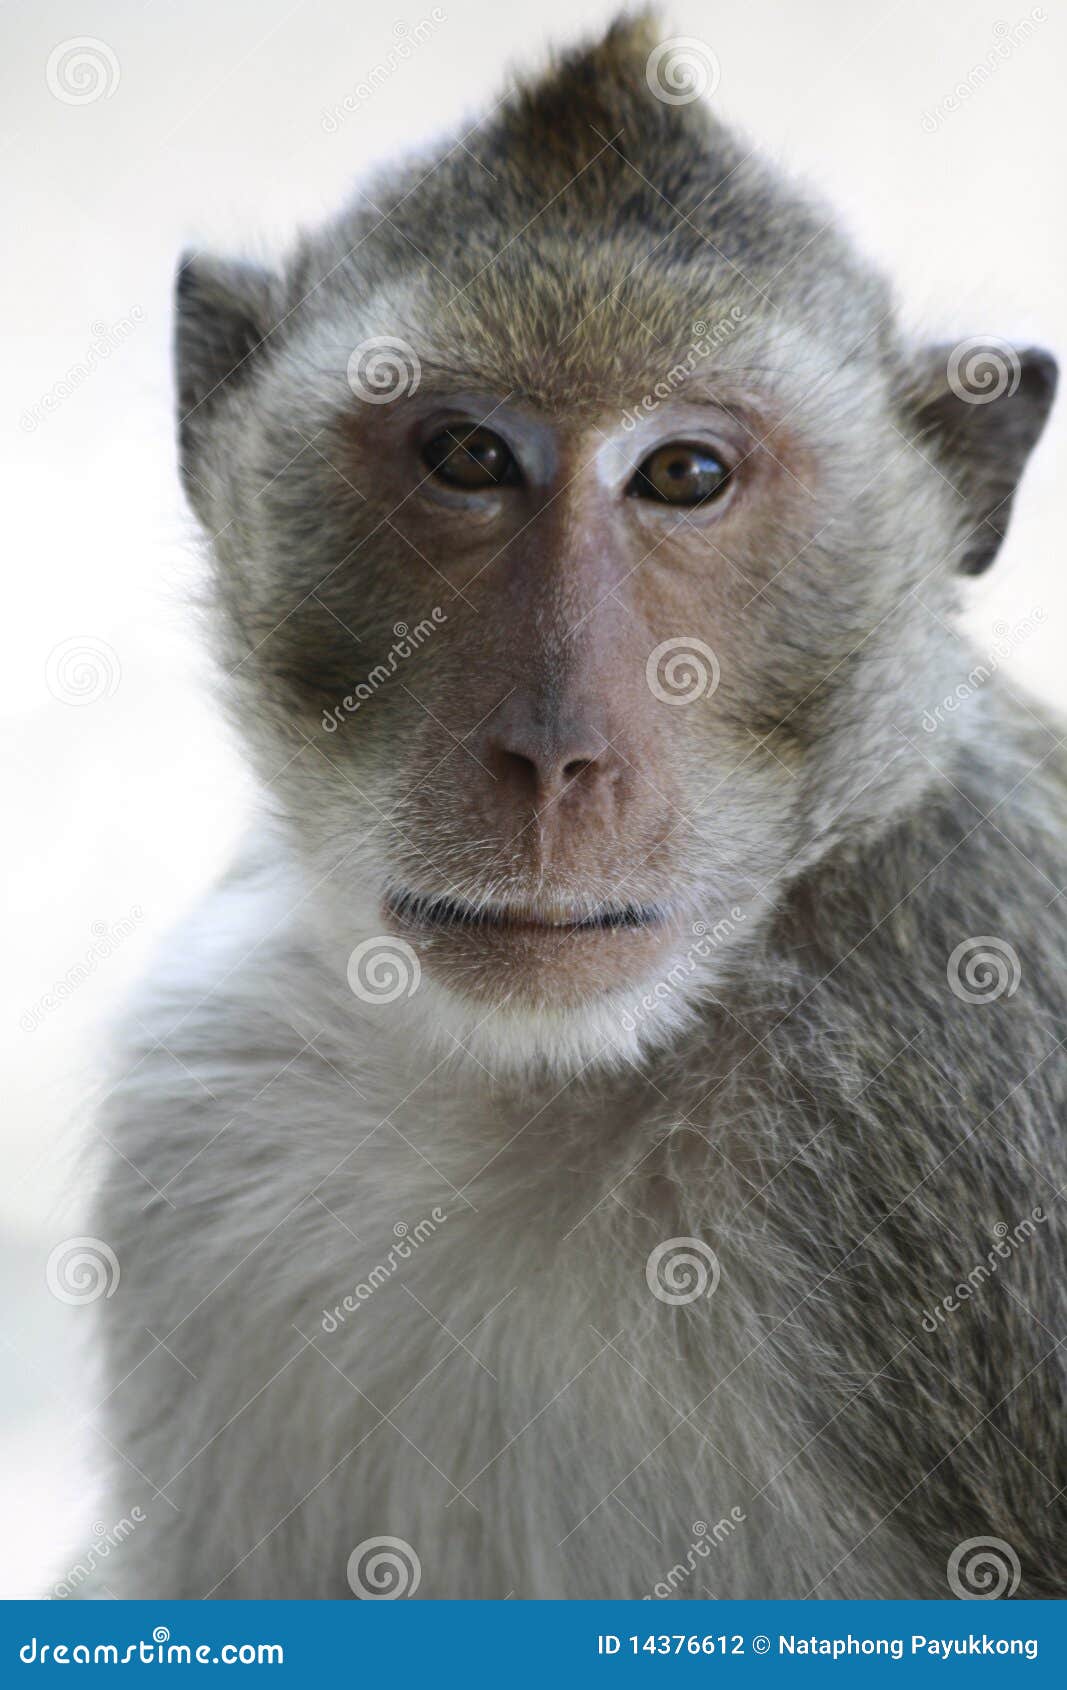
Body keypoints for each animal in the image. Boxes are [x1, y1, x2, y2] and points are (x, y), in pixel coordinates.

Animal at [82, 13, 1065, 1600]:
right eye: (469, 456)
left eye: (684, 473)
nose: (552, 753)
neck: (560, 1078)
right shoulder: (202, 1087)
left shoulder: (965, 1028)